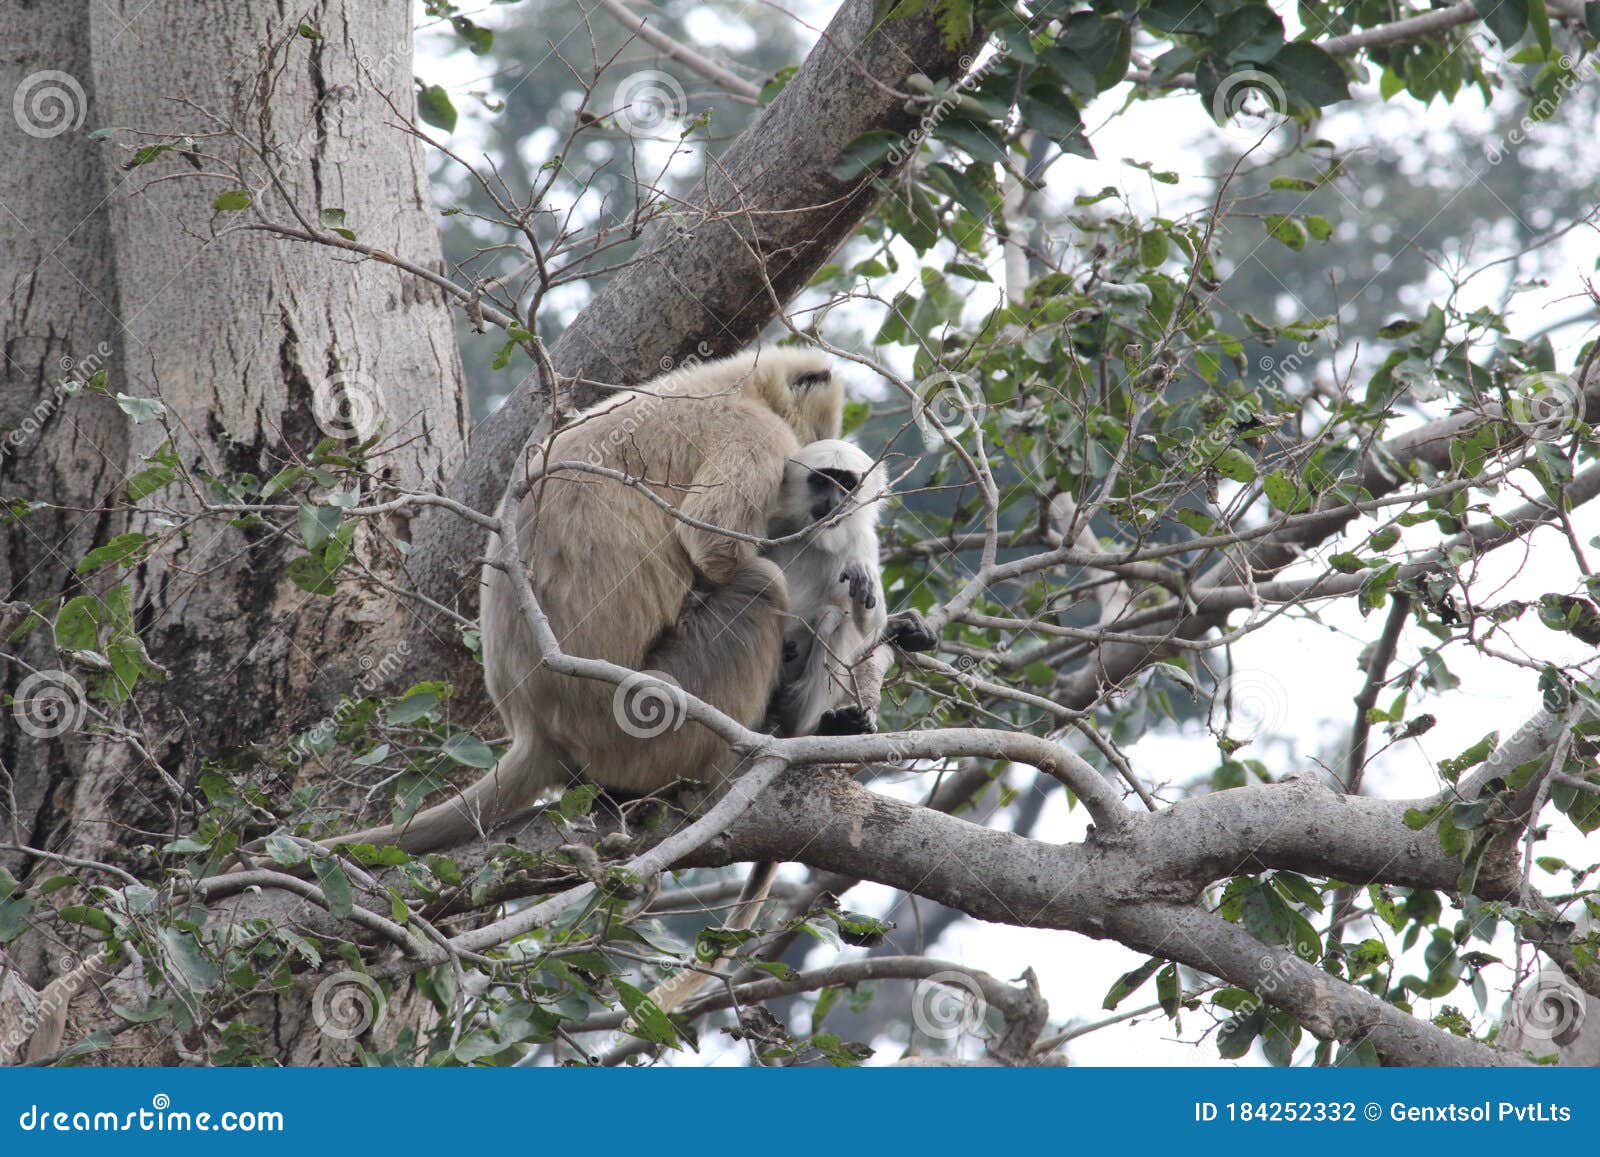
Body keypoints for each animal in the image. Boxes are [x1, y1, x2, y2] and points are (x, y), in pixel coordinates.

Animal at [336, 348, 844, 853]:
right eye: (818, 469)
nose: (831, 508)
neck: (732, 383)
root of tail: (534, 727)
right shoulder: (758, 430)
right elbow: (713, 547)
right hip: (644, 721)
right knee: (761, 583)